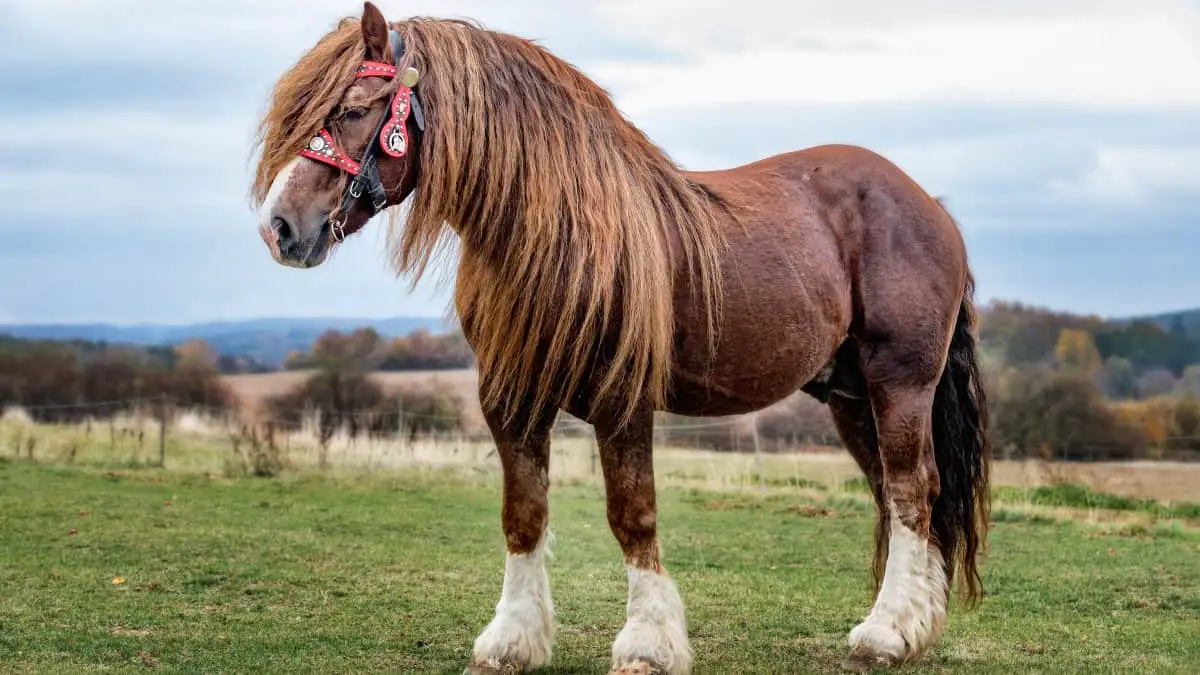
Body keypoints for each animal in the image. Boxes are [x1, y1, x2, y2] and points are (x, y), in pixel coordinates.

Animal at [250, 3, 991, 673]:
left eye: (353, 109)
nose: (279, 227)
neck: (556, 232)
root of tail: (929, 206)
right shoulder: (509, 400)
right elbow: (523, 514)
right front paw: (510, 641)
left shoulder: (622, 400)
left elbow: (633, 515)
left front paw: (647, 645)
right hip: (849, 395)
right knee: (898, 492)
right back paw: (912, 625)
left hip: (900, 382)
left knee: (911, 491)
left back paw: (887, 634)